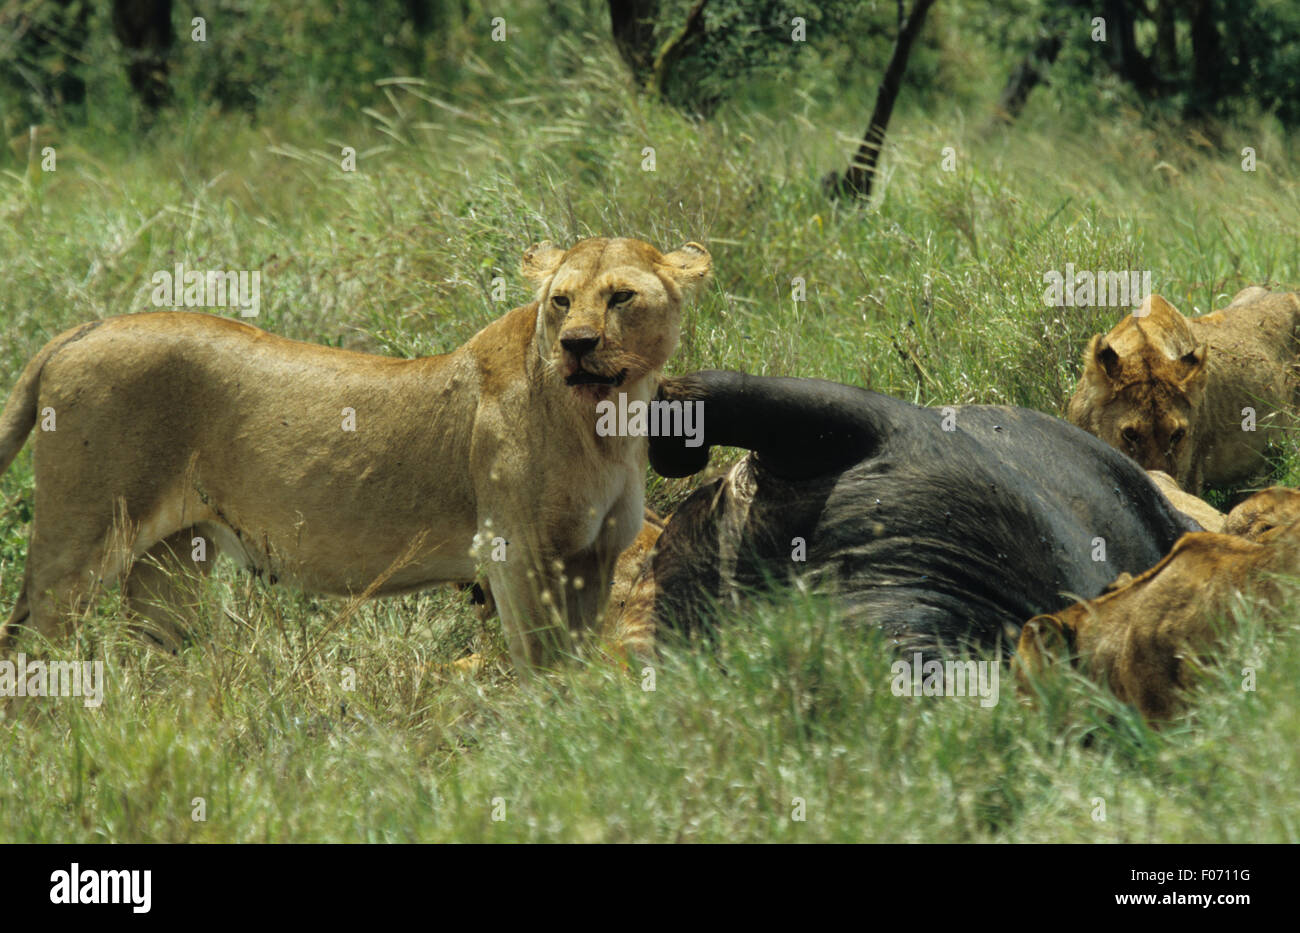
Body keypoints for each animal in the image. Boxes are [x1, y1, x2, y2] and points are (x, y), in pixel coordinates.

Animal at [0, 236, 711, 669]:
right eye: (561, 300)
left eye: (621, 297)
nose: (577, 343)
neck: (604, 419)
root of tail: (77, 330)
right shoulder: (519, 553)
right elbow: (544, 665)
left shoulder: (595, 557)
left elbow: (578, 659)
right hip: (81, 538)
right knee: (25, 652)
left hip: (170, 561)